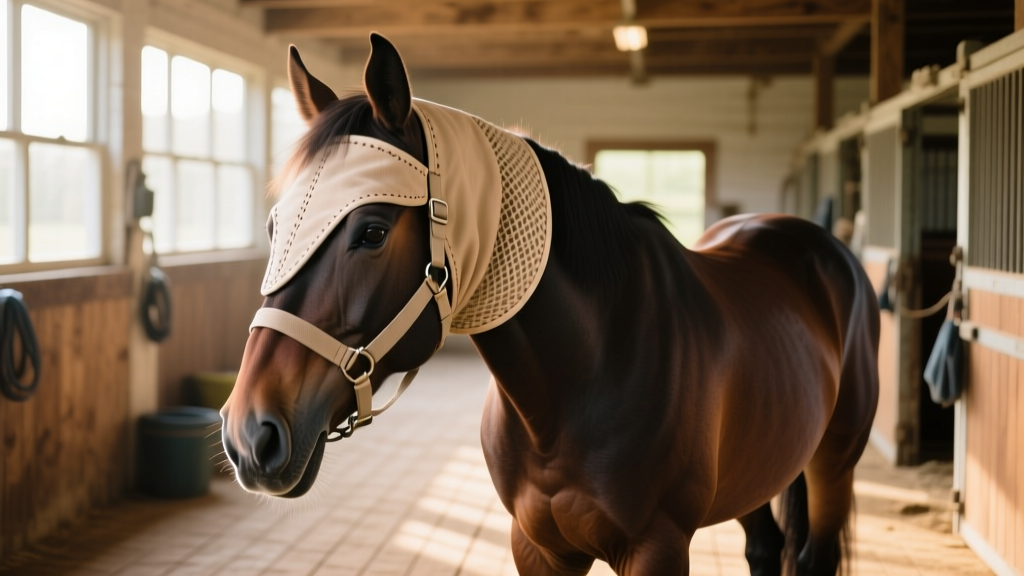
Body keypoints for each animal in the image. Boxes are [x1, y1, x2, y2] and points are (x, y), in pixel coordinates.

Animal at [220, 33, 879, 576]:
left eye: (373, 232)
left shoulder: (658, 549)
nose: (248, 434)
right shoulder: (536, 546)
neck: (586, 376)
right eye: (275, 226)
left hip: (833, 465)